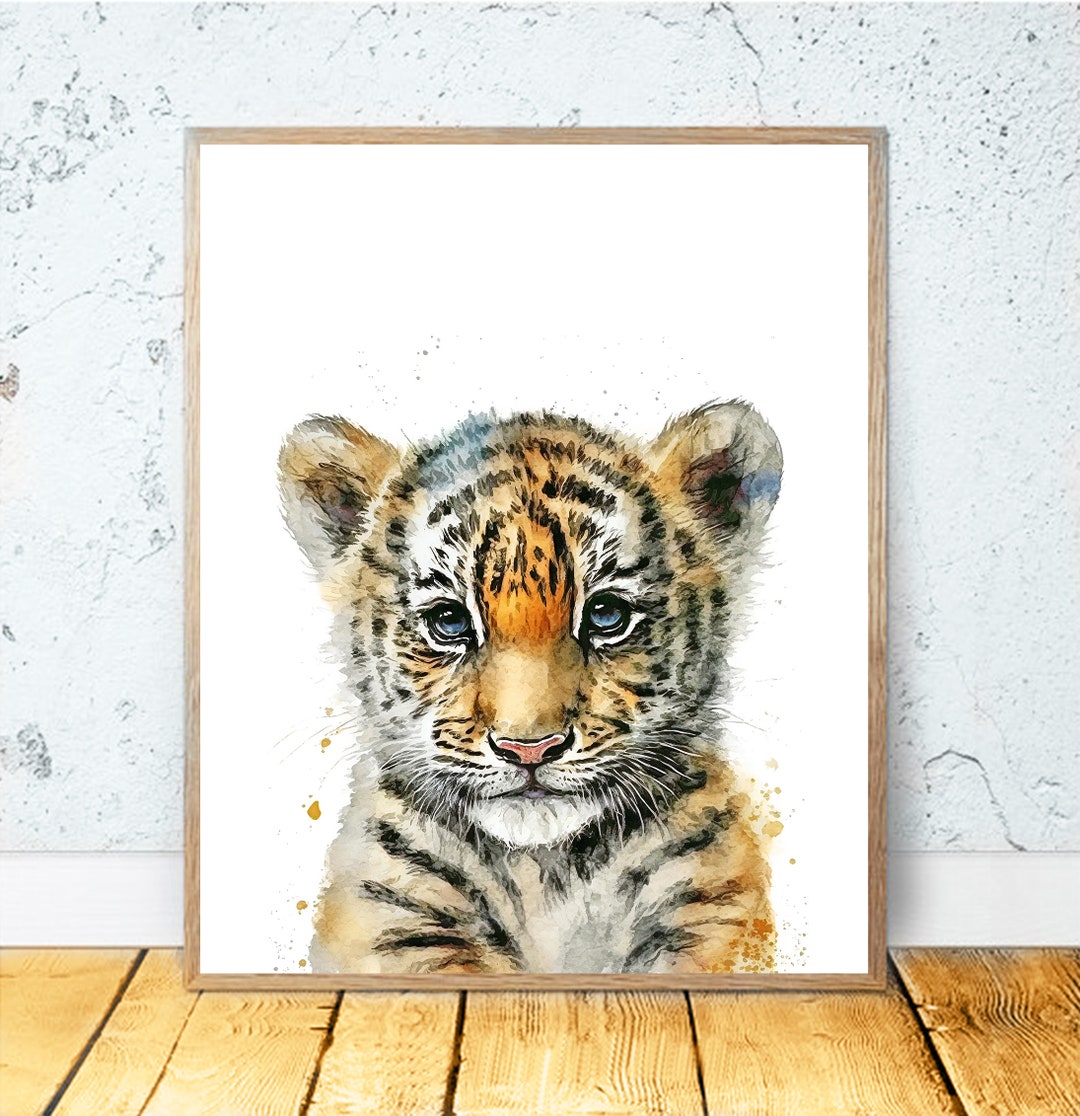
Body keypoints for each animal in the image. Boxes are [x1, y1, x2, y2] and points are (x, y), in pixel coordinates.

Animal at [278, 399, 783, 974]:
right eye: (449, 621)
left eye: (606, 615)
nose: (529, 748)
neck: (546, 873)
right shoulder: (394, 922)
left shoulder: (709, 912)